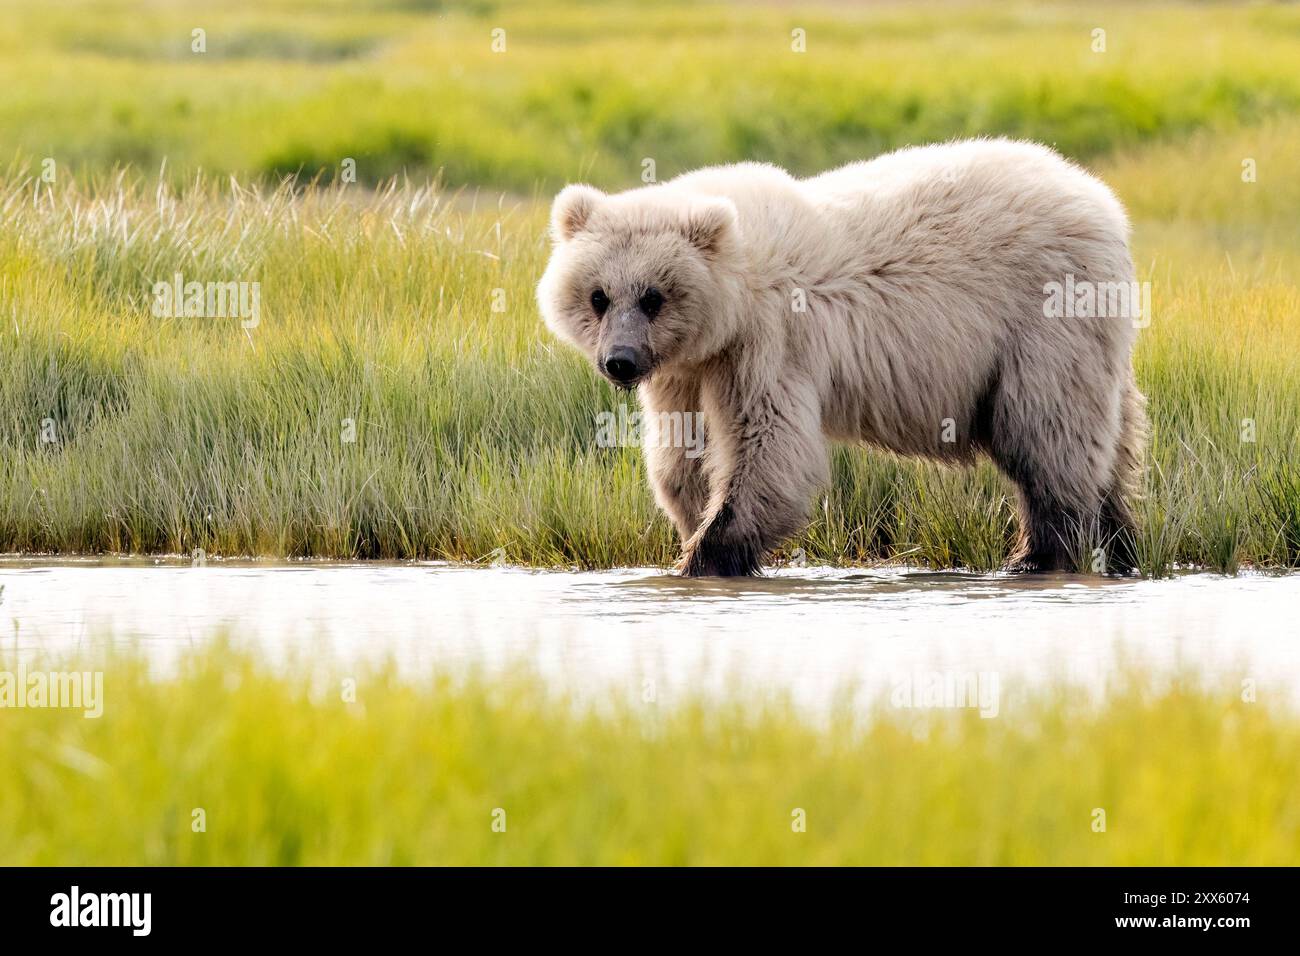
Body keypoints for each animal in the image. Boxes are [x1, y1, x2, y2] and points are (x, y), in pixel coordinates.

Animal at [537, 138, 1147, 577]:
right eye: (598, 295)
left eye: (653, 296)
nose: (619, 361)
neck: (732, 304)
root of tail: (1102, 200)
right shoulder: (686, 368)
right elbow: (680, 450)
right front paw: (692, 521)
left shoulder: (770, 344)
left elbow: (770, 449)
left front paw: (706, 556)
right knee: (1113, 439)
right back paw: (1120, 547)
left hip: (1043, 318)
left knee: (1049, 433)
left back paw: (1037, 555)